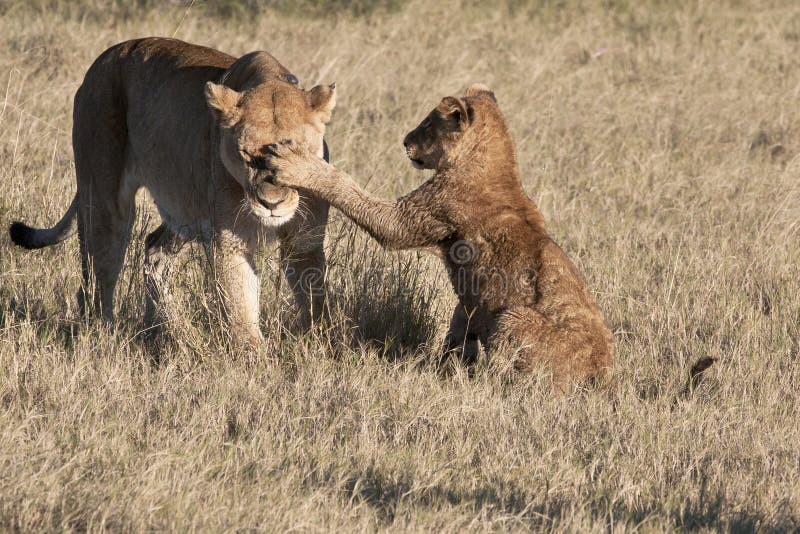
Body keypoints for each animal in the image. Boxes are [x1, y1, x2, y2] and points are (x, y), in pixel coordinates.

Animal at [8, 38, 336, 346]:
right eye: (245, 154)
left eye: (295, 154)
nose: (272, 203)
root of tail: (104, 58)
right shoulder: (229, 243)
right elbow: (241, 308)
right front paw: (255, 359)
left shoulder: (305, 240)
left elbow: (314, 297)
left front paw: (320, 342)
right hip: (103, 195)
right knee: (98, 272)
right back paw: (104, 335)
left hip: (184, 209)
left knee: (153, 249)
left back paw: (167, 327)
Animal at [262, 84, 614, 385]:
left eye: (429, 123)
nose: (405, 141)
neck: (494, 163)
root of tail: (601, 370)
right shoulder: (470, 294)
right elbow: (461, 322)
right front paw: (444, 363)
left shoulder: (413, 217)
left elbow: (349, 189)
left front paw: (297, 164)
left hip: (512, 318)